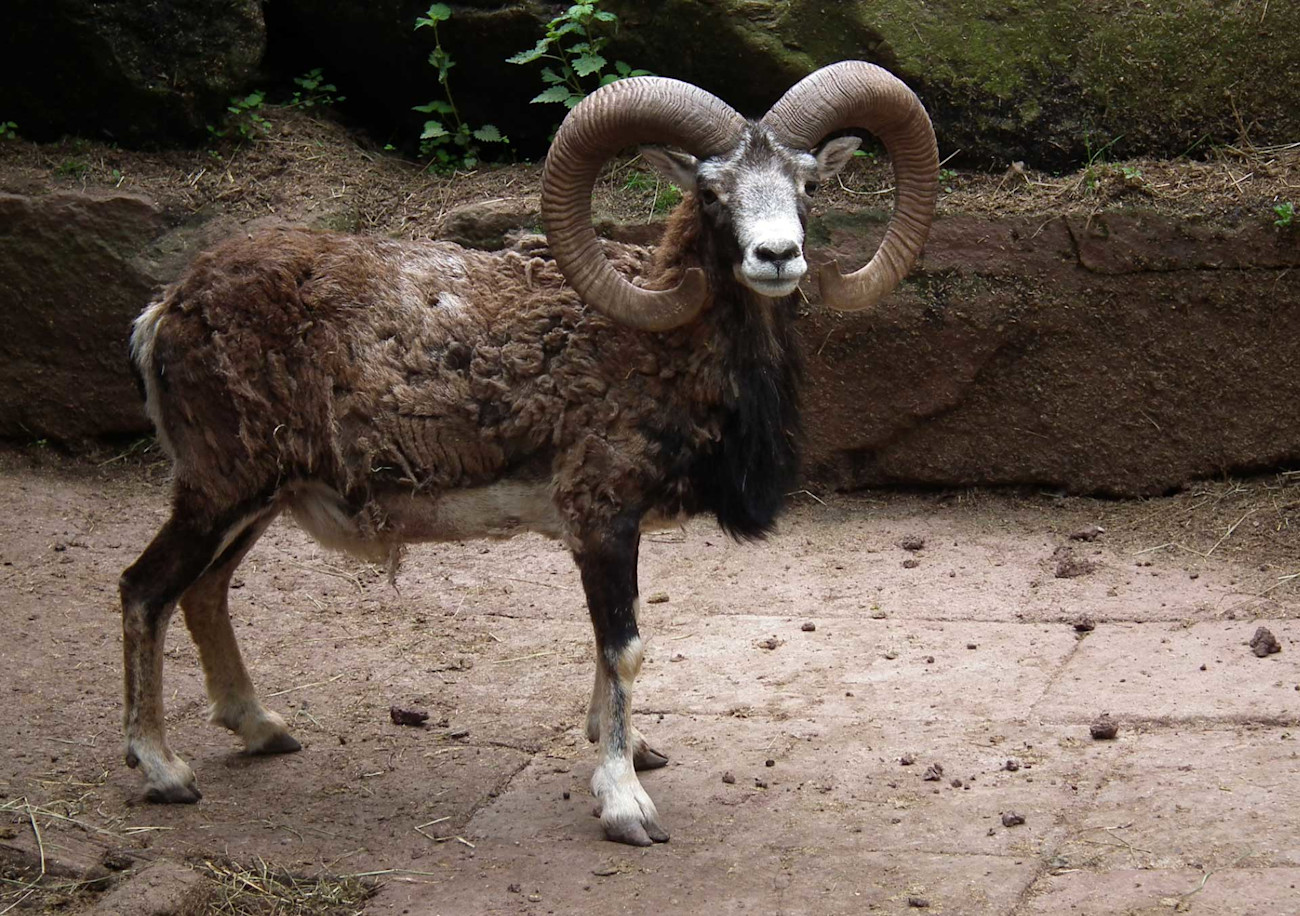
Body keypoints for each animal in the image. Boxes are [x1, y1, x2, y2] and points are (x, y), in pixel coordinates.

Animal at [119, 61, 938, 846]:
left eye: (808, 185)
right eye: (712, 192)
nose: (777, 256)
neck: (655, 346)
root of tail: (166, 310)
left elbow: (612, 645)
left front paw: (631, 753)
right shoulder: (602, 519)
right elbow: (624, 648)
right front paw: (626, 805)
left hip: (255, 500)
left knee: (204, 591)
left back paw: (263, 730)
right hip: (219, 491)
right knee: (146, 589)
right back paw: (163, 770)